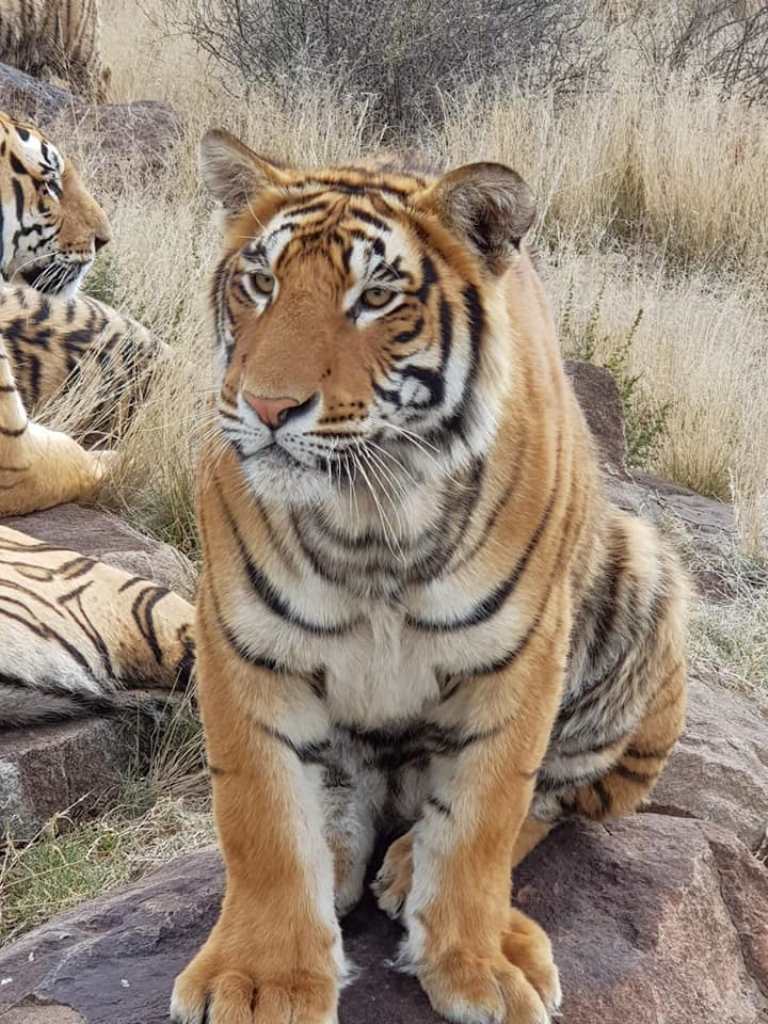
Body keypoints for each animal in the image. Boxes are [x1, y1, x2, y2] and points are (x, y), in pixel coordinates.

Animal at [171, 130, 688, 1024]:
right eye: (260, 283)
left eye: (376, 296)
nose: (267, 409)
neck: (370, 514)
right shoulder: (242, 641)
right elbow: (259, 819)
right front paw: (262, 977)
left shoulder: (522, 654)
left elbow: (485, 818)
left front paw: (477, 963)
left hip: (645, 574)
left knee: (554, 798)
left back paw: (413, 868)